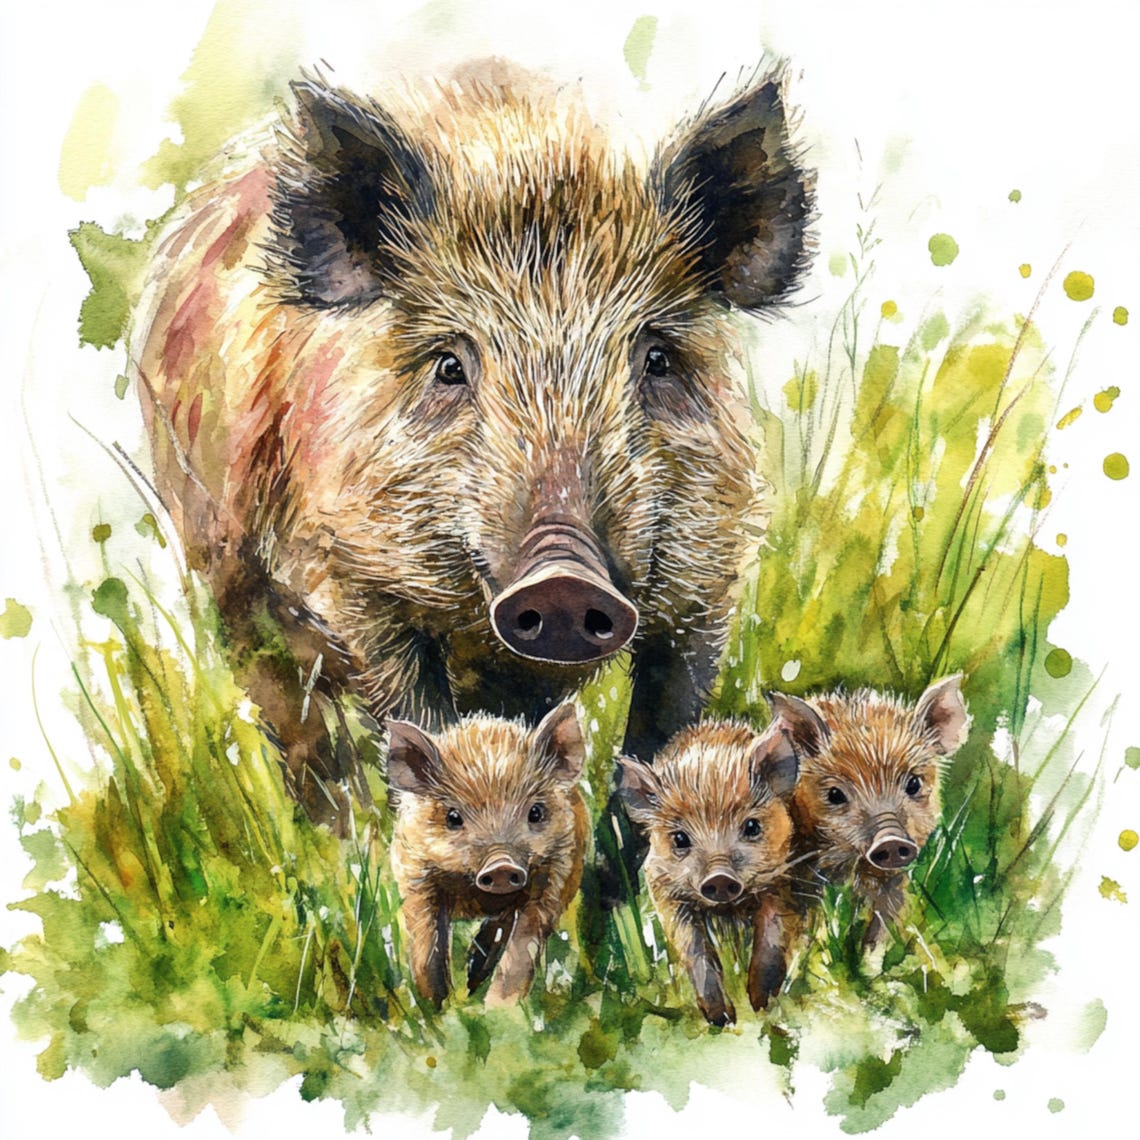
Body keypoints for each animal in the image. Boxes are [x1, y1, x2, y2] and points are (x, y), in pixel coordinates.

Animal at [128, 60, 814, 826]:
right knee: (299, 729)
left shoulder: (706, 595)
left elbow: (661, 740)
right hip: (223, 572)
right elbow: (417, 728)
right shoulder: (353, 584)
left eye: (658, 359)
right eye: (450, 366)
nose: (564, 580)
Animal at [386, 701, 589, 1007]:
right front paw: (437, 1009)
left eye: (535, 812)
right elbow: (426, 949)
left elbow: (521, 950)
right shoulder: (417, 878)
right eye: (453, 817)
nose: (501, 866)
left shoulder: (554, 878)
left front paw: (499, 1010)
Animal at [615, 717, 803, 1025]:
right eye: (680, 838)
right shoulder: (664, 890)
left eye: (752, 826)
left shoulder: (783, 875)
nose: (720, 878)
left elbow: (771, 937)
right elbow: (693, 948)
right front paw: (722, 1019)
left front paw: (760, 1006)